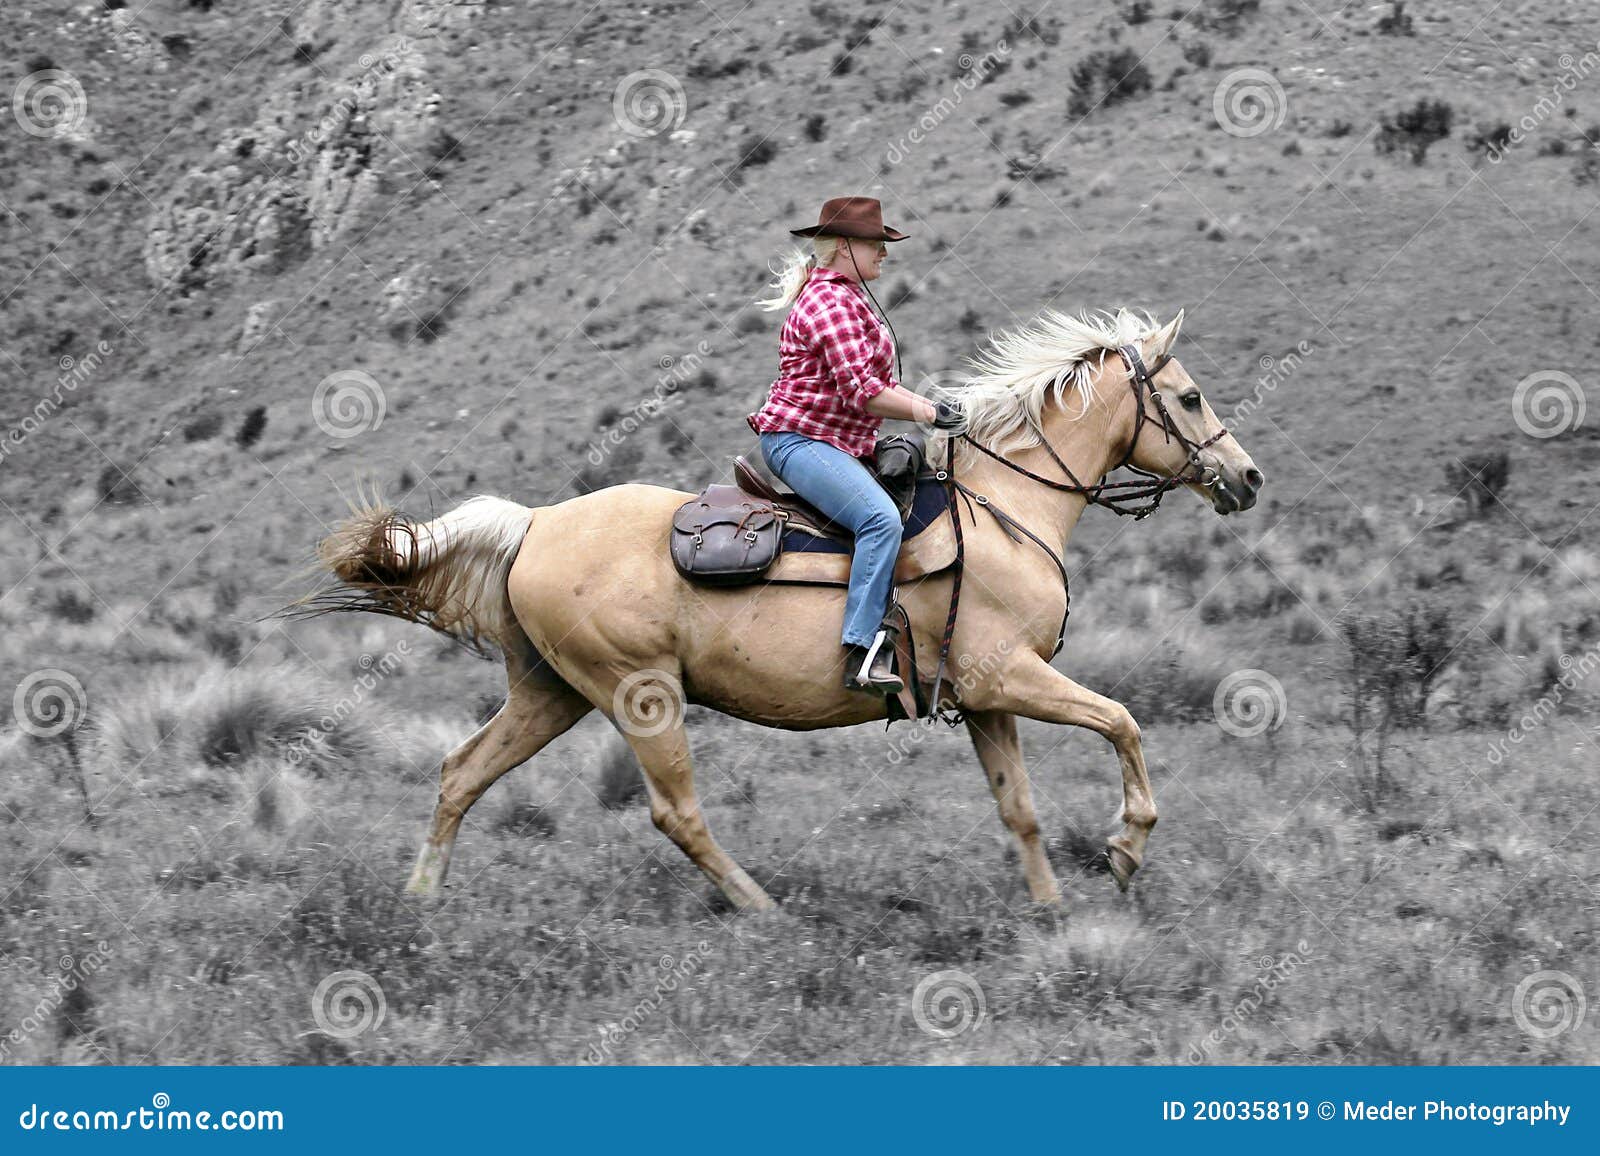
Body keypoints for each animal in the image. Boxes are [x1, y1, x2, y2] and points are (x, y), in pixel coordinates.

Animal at [294, 307, 1263, 912]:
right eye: (1189, 397)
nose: (1246, 477)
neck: (1006, 511)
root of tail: (534, 525)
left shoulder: (985, 699)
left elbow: (1019, 810)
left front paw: (1053, 911)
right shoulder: (1012, 678)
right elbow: (1124, 721)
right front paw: (1128, 845)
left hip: (550, 694)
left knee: (462, 773)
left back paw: (422, 902)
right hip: (640, 693)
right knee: (675, 813)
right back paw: (762, 908)